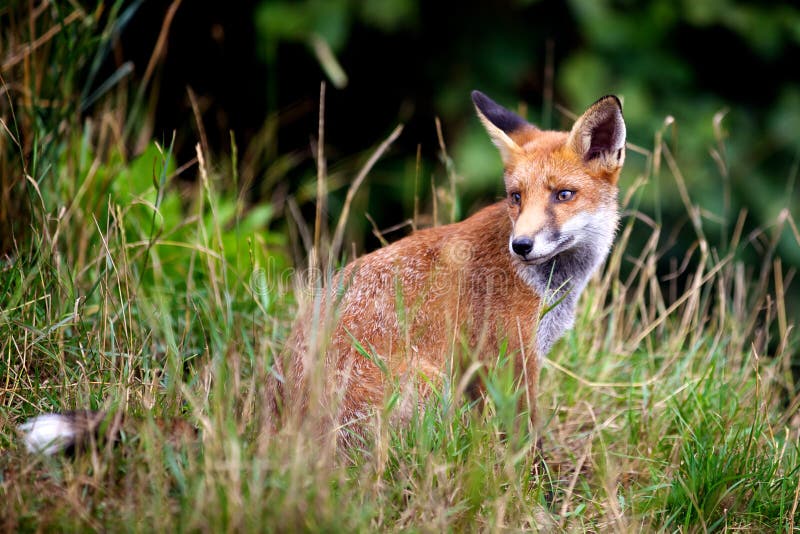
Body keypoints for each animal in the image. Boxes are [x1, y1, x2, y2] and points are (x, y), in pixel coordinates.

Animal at [19, 91, 625, 455]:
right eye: (515, 197)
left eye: (563, 195)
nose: (521, 246)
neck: (550, 287)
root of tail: (276, 425)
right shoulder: (508, 361)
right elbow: (527, 440)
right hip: (430, 385)